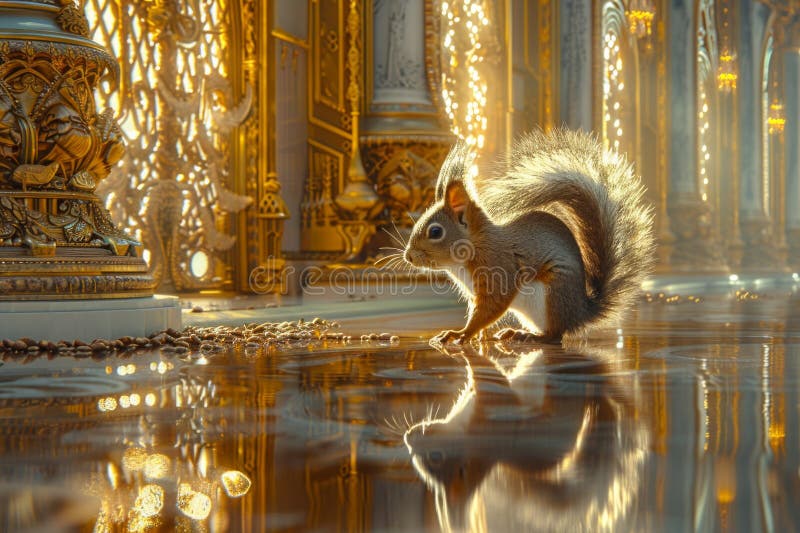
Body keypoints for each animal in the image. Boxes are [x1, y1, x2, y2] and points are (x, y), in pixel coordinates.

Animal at [403, 128, 655, 345]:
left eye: (435, 232)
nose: (408, 257)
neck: (475, 247)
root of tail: (581, 312)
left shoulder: (498, 268)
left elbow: (491, 307)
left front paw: (461, 334)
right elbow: (480, 313)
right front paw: (479, 336)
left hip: (553, 295)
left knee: (555, 335)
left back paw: (529, 336)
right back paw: (515, 332)